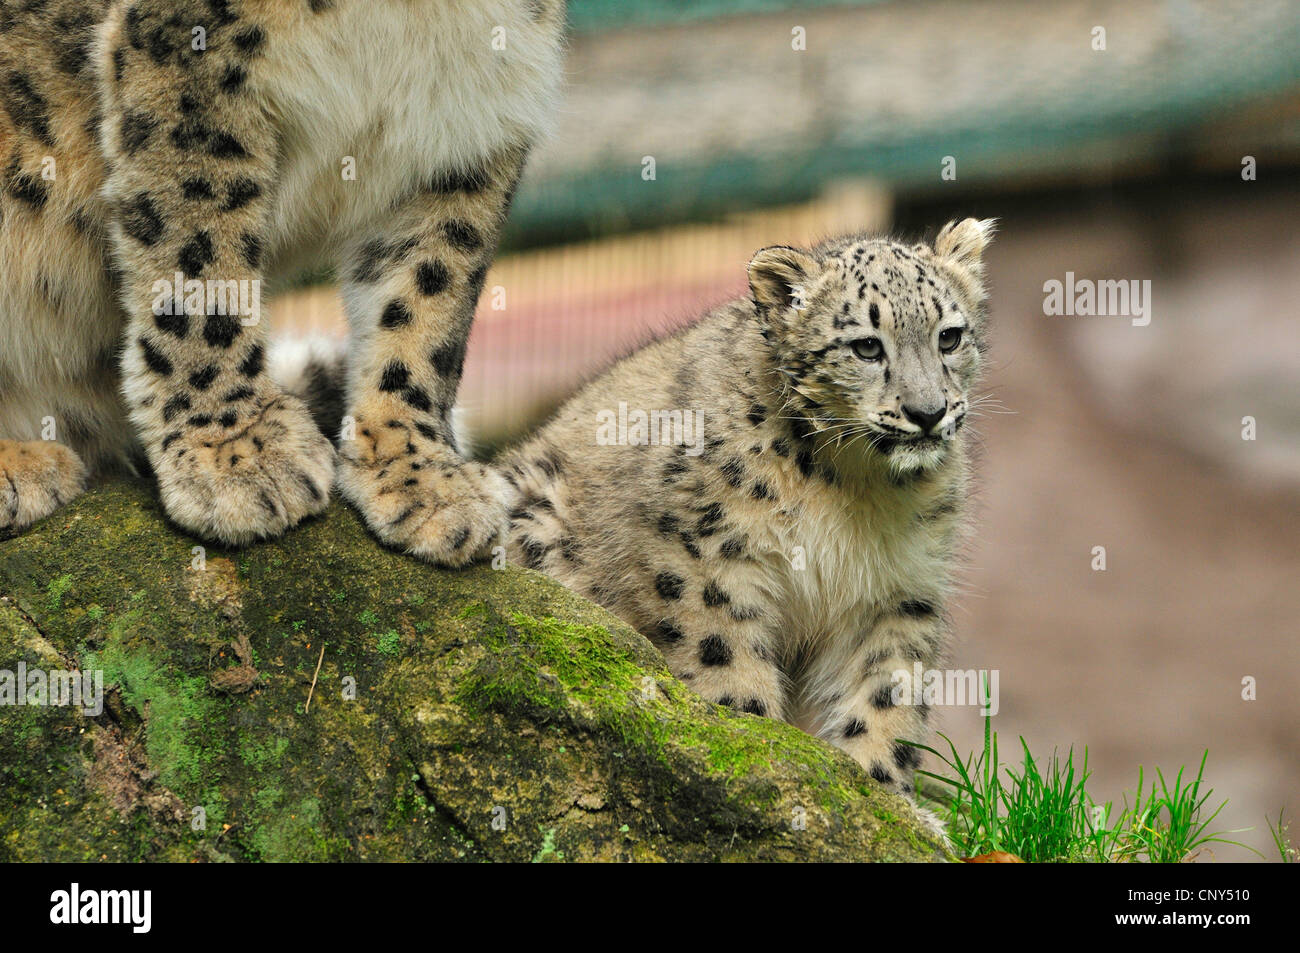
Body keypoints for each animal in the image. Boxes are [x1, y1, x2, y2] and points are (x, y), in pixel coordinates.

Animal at [0, 0, 565, 565]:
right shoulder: (187, 59)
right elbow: (201, 253)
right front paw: (236, 453)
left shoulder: (467, 117)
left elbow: (432, 292)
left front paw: (421, 470)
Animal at [498, 218, 996, 813]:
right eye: (866, 346)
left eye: (949, 336)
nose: (928, 412)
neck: (854, 486)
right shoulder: (707, 553)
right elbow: (725, 653)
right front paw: (754, 742)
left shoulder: (899, 590)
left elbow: (885, 692)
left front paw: (883, 796)